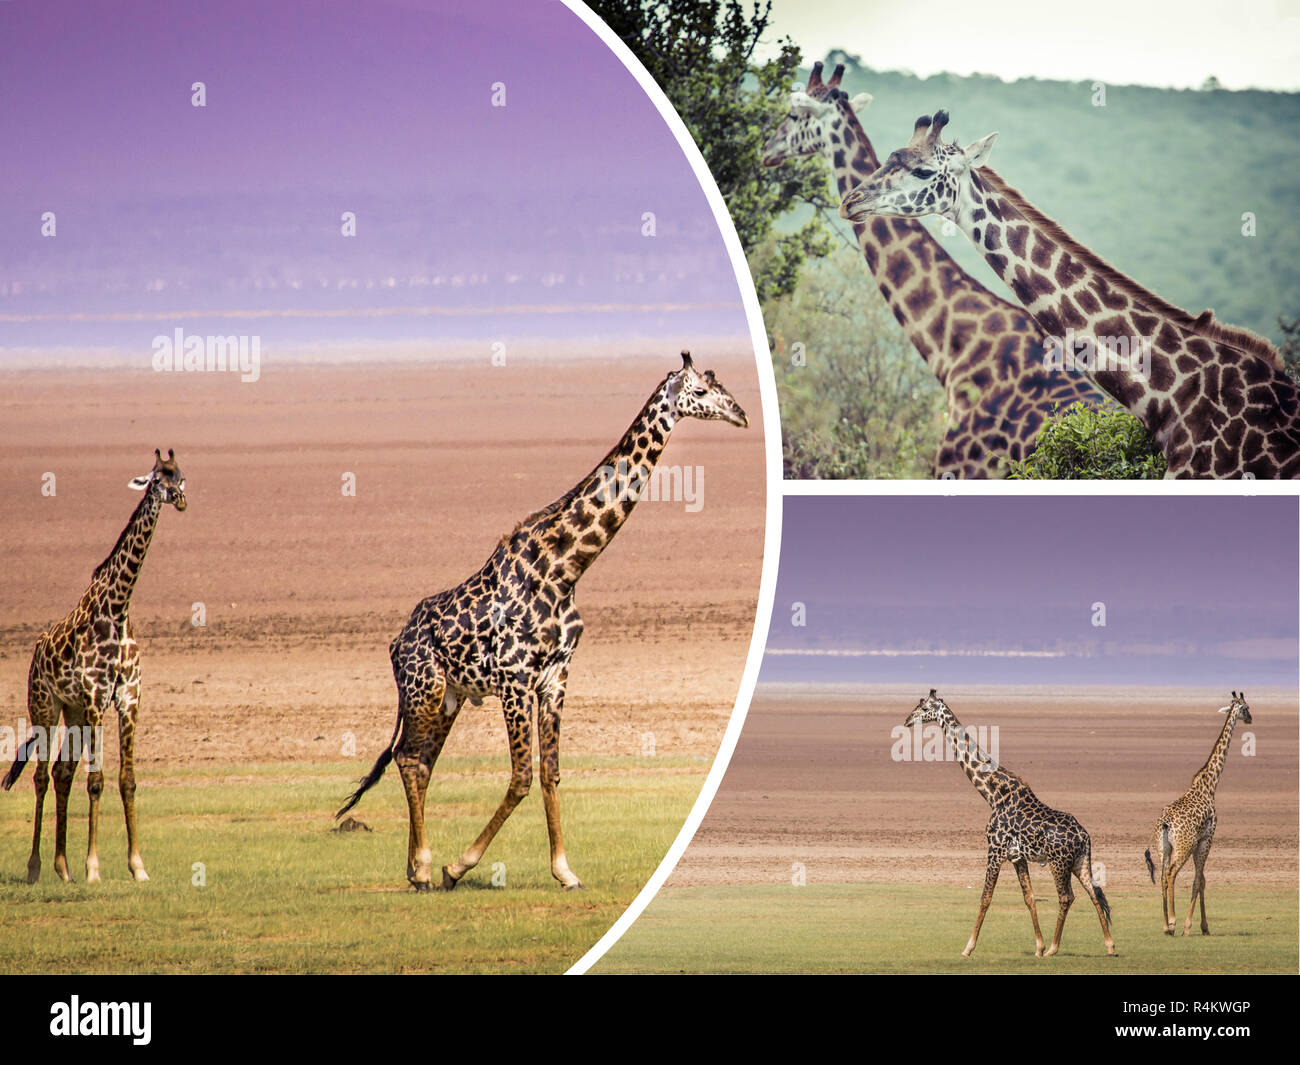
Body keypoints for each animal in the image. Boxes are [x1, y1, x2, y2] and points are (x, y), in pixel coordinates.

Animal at [2, 449, 187, 884]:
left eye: (181, 475)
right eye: (158, 478)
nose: (181, 499)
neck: (118, 609)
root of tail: (37, 650)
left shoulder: (128, 699)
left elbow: (127, 780)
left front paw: (137, 866)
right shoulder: (96, 700)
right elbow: (97, 780)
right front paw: (94, 868)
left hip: (72, 712)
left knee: (62, 773)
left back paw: (62, 867)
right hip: (46, 707)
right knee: (41, 776)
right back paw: (36, 867)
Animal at [337, 352, 748, 891]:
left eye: (719, 384)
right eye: (699, 391)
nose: (742, 415)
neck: (565, 567)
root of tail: (395, 643)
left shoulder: (555, 679)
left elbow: (551, 773)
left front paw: (565, 871)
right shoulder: (516, 680)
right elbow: (521, 777)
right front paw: (458, 865)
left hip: (448, 698)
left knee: (420, 762)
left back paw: (412, 868)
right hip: (424, 689)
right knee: (407, 757)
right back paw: (425, 865)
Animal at [904, 690, 1116, 957]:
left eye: (923, 708)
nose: (907, 721)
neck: (992, 793)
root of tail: (1083, 836)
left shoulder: (994, 849)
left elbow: (985, 897)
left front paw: (968, 947)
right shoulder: (1017, 856)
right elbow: (1029, 897)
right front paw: (1038, 947)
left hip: (1058, 863)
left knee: (1067, 897)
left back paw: (1054, 948)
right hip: (1080, 862)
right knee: (1095, 893)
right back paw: (1109, 945)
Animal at [1144, 692, 1253, 936]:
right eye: (1246, 707)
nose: (1251, 719)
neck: (1210, 785)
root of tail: (1165, 823)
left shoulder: (1199, 842)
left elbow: (1202, 879)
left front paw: (1204, 926)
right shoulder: (1207, 838)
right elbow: (1198, 880)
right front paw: (1190, 926)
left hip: (1163, 848)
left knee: (1163, 876)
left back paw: (1165, 925)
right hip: (1183, 846)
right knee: (1171, 873)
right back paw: (1173, 922)